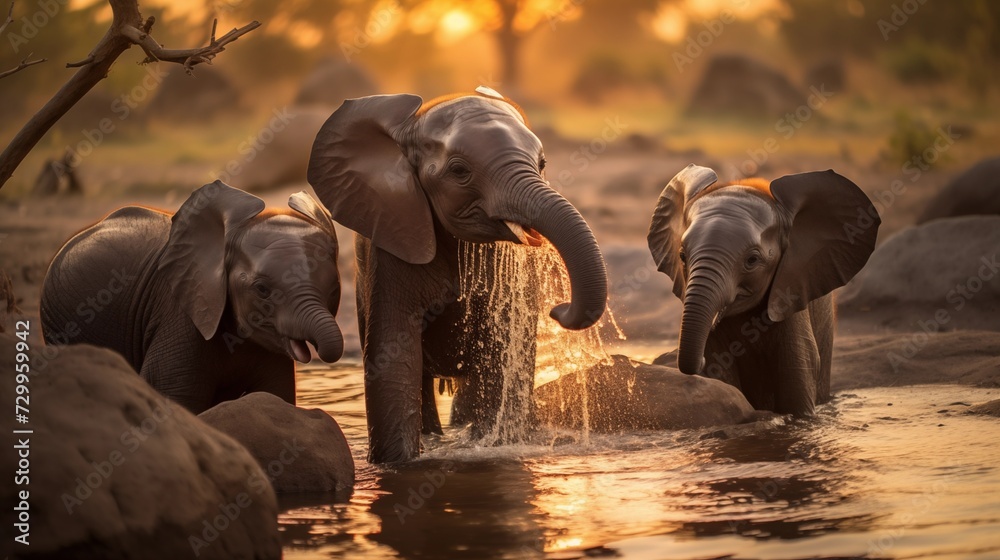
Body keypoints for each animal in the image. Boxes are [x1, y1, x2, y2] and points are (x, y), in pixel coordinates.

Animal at [308, 87, 608, 463]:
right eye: (460, 170)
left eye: (542, 165)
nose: (558, 310)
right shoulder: (390, 242)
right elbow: (392, 357)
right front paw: (400, 463)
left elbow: (501, 351)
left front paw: (491, 446)